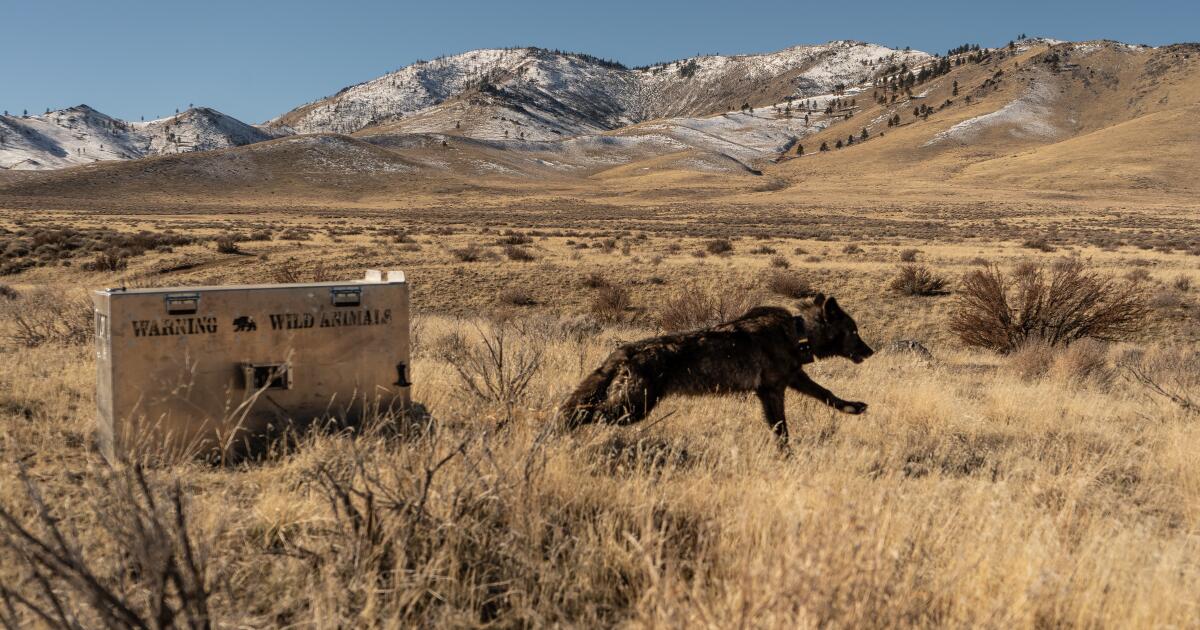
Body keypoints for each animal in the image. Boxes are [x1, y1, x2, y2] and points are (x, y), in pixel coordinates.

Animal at [560, 294, 874, 446]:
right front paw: (787, 457)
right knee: (581, 413)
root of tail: (624, 352)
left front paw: (852, 407)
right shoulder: (773, 391)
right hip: (633, 408)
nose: (870, 351)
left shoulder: (791, 380)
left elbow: (827, 393)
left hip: (630, 406)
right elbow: (782, 431)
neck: (798, 333)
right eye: (854, 331)